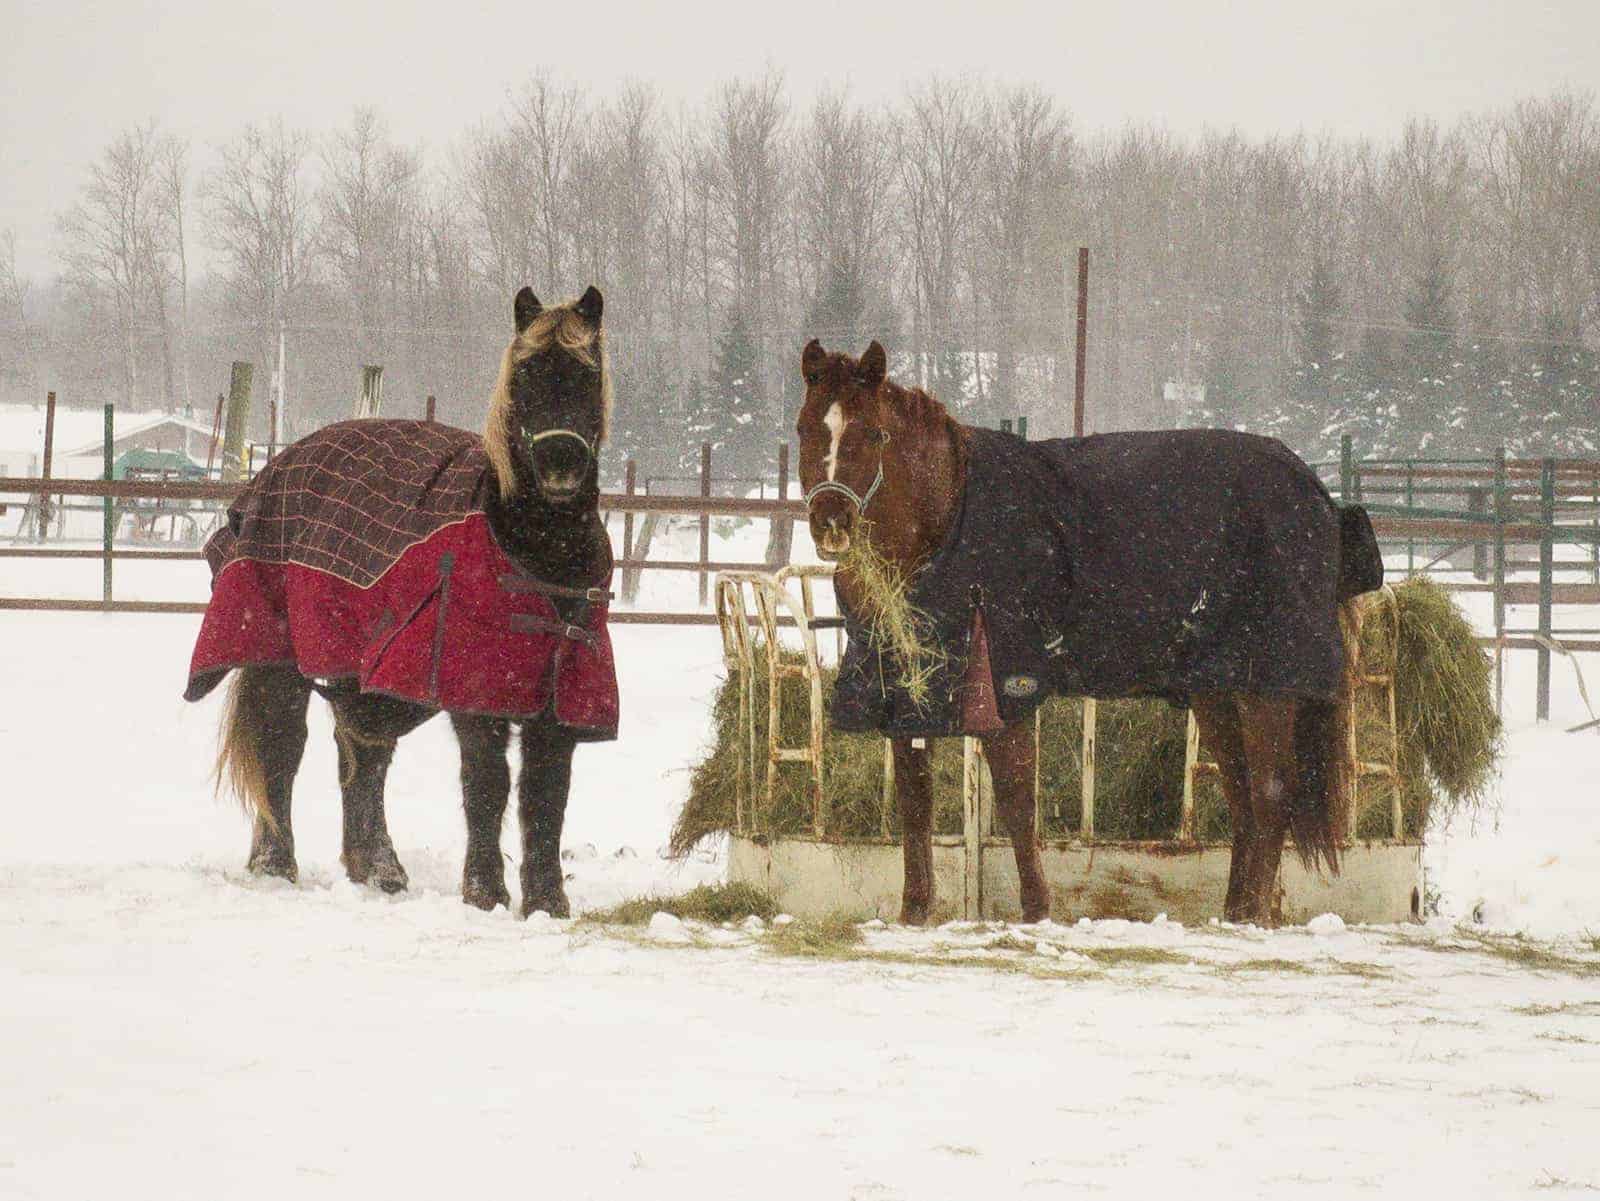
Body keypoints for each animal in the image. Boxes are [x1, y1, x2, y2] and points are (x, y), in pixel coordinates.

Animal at [183, 287, 618, 919]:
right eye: (524, 375)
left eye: (586, 374)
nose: (560, 463)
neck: (532, 551)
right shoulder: (475, 690)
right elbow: (487, 783)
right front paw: (485, 894)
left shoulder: (560, 694)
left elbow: (546, 793)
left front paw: (546, 902)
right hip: (277, 658)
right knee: (282, 745)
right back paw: (276, 864)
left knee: (362, 753)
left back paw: (378, 869)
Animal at [796, 338, 1382, 927]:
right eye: (804, 428)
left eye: (874, 433)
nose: (832, 522)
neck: (948, 518)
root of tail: (1319, 494)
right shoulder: (903, 693)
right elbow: (915, 805)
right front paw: (914, 913)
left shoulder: (1008, 682)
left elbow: (1016, 802)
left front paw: (1036, 909)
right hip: (1217, 689)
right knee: (1242, 800)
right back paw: (1233, 911)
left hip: (1268, 685)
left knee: (1270, 793)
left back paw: (1254, 914)